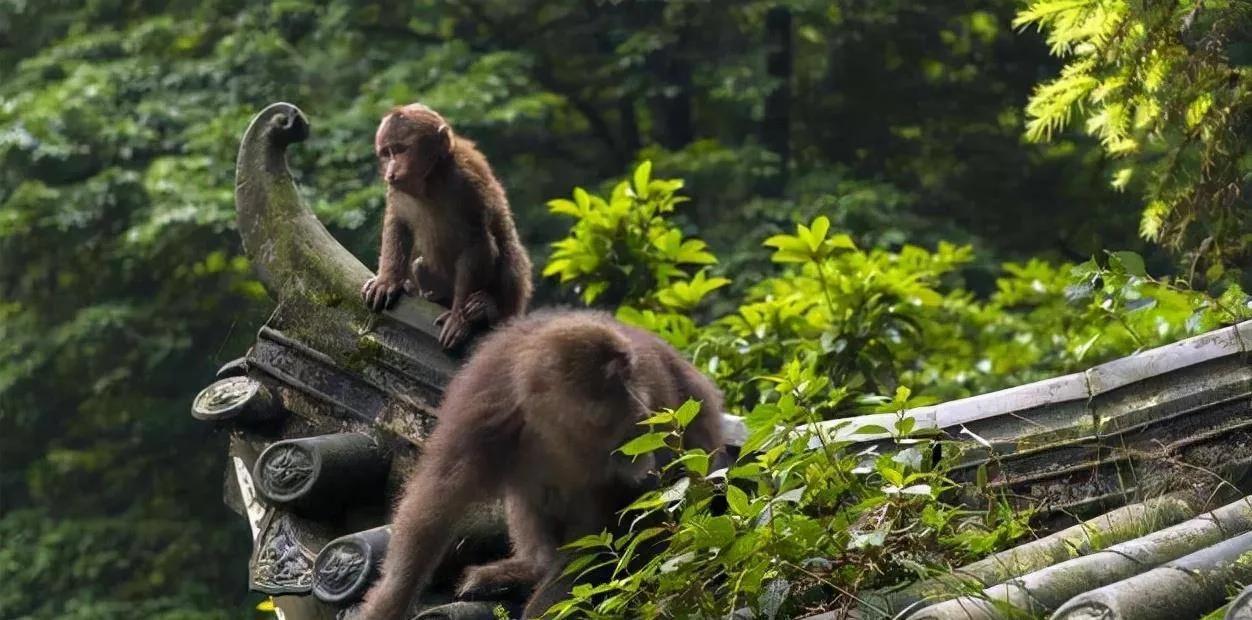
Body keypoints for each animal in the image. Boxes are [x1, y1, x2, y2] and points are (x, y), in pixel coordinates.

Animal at [352, 309, 726, 619]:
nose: (643, 408)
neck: (553, 427)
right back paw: (532, 567)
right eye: (617, 380)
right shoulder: (488, 401)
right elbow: (436, 500)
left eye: (632, 376)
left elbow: (622, 524)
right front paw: (389, 603)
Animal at [361, 103, 532, 350]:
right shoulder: (396, 189)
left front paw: (459, 318)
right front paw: (388, 280)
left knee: (509, 251)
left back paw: (486, 308)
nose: (390, 172)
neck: (432, 180)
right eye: (387, 153)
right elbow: (398, 222)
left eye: (401, 150)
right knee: (421, 264)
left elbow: (477, 241)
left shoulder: (467, 183)